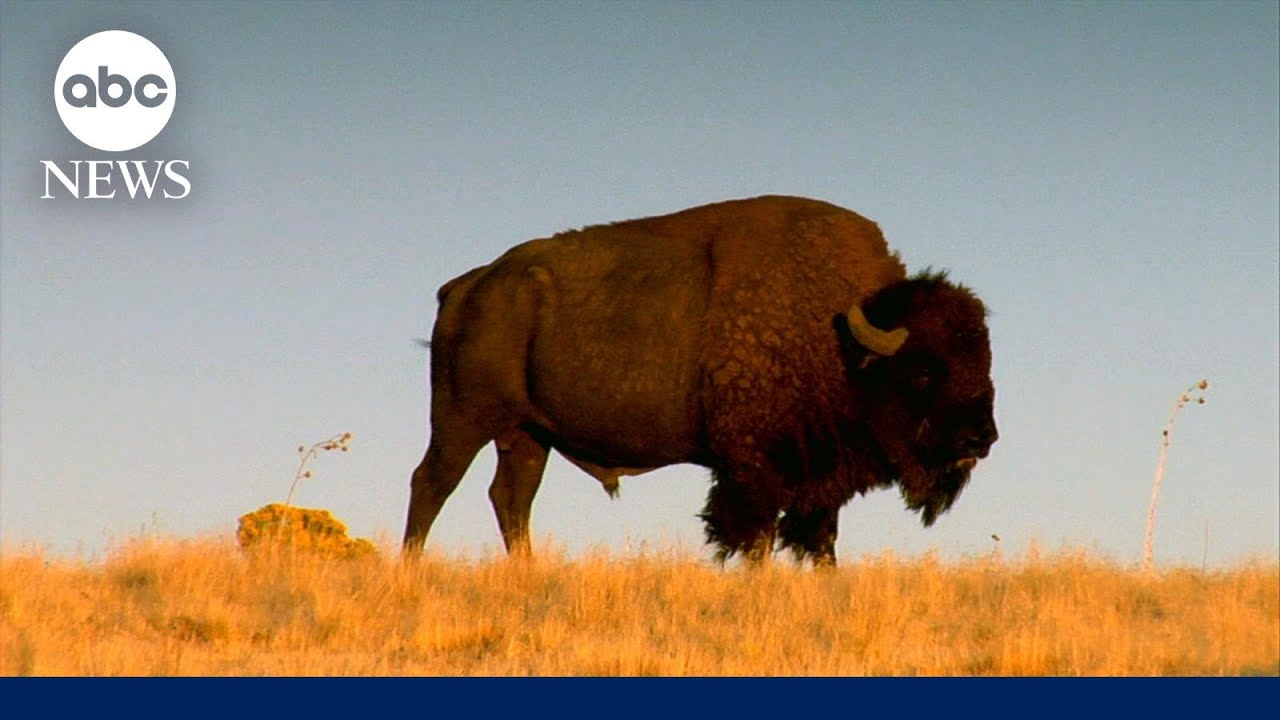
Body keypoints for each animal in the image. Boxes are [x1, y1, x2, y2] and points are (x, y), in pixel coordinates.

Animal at [403, 195, 997, 565]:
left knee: (511, 497)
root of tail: (468, 285)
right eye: (923, 369)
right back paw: (412, 566)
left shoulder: (818, 479)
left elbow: (821, 539)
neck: (841, 338)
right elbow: (754, 537)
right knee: (431, 483)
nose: (980, 437)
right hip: (462, 419)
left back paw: (527, 569)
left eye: (983, 360)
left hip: (528, 435)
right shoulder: (751, 471)